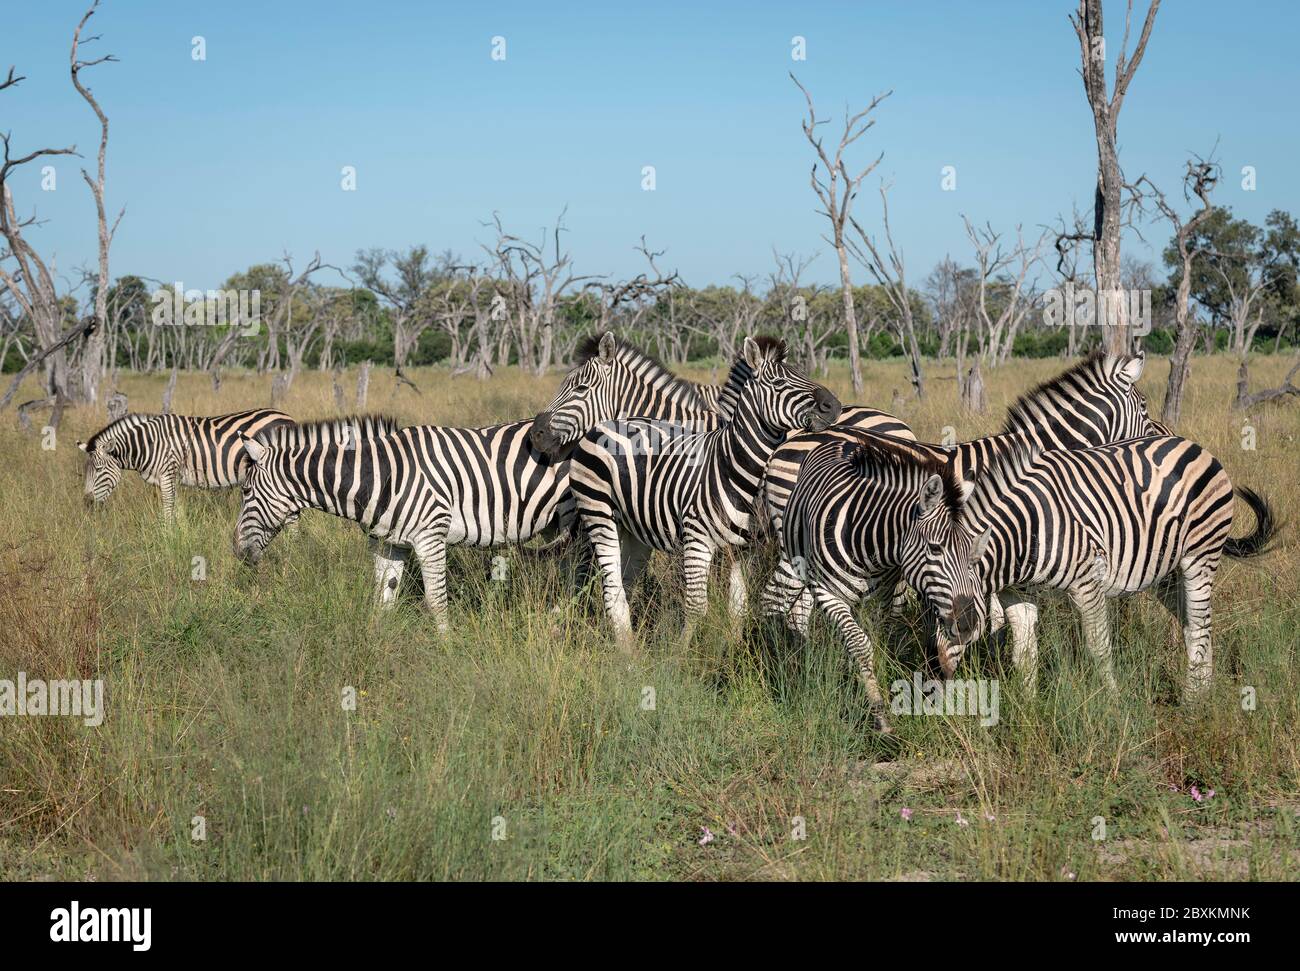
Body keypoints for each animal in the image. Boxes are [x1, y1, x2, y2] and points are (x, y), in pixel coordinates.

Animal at [78, 409, 294, 522]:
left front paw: (167, 536)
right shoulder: (172, 479)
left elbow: (167, 508)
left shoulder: (167, 474)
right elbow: (176, 509)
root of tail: (287, 417)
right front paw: (179, 533)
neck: (151, 444)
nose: (87, 504)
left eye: (99, 470)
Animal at [569, 336, 841, 651]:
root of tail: (603, 424)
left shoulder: (742, 550)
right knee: (611, 587)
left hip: (631, 525)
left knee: (625, 581)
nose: (834, 406)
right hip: (597, 512)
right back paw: (628, 654)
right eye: (779, 382)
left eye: (803, 373)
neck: (731, 465)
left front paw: (735, 652)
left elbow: (739, 608)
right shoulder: (697, 539)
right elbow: (696, 606)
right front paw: (680, 654)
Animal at [781, 433, 990, 731]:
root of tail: (840, 440)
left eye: (969, 553)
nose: (968, 624)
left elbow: (880, 640)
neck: (866, 540)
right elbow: (860, 644)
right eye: (935, 549)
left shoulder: (888, 595)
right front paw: (880, 716)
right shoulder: (827, 592)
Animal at [920, 437, 1276, 698]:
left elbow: (1099, 648)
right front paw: (1028, 710)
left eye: (955, 616)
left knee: (1201, 625)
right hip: (1167, 573)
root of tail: (1195, 446)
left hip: (1200, 555)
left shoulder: (1086, 583)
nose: (936, 674)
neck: (1022, 533)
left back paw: (1192, 700)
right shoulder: (1017, 595)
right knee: (1193, 626)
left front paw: (1114, 703)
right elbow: (1024, 656)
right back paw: (1203, 690)